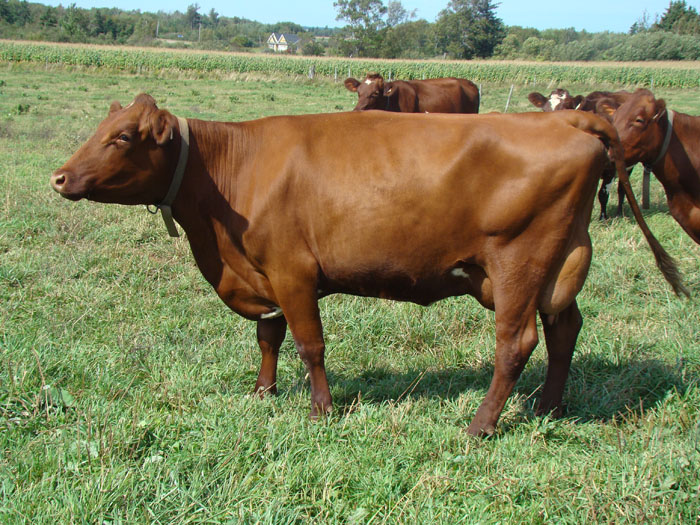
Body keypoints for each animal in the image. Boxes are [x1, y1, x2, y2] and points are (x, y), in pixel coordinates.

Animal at [528, 88, 633, 220]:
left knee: (622, 188)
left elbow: (603, 194)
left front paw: (603, 218)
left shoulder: (611, 170)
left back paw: (619, 212)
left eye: (566, 109)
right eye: (544, 110)